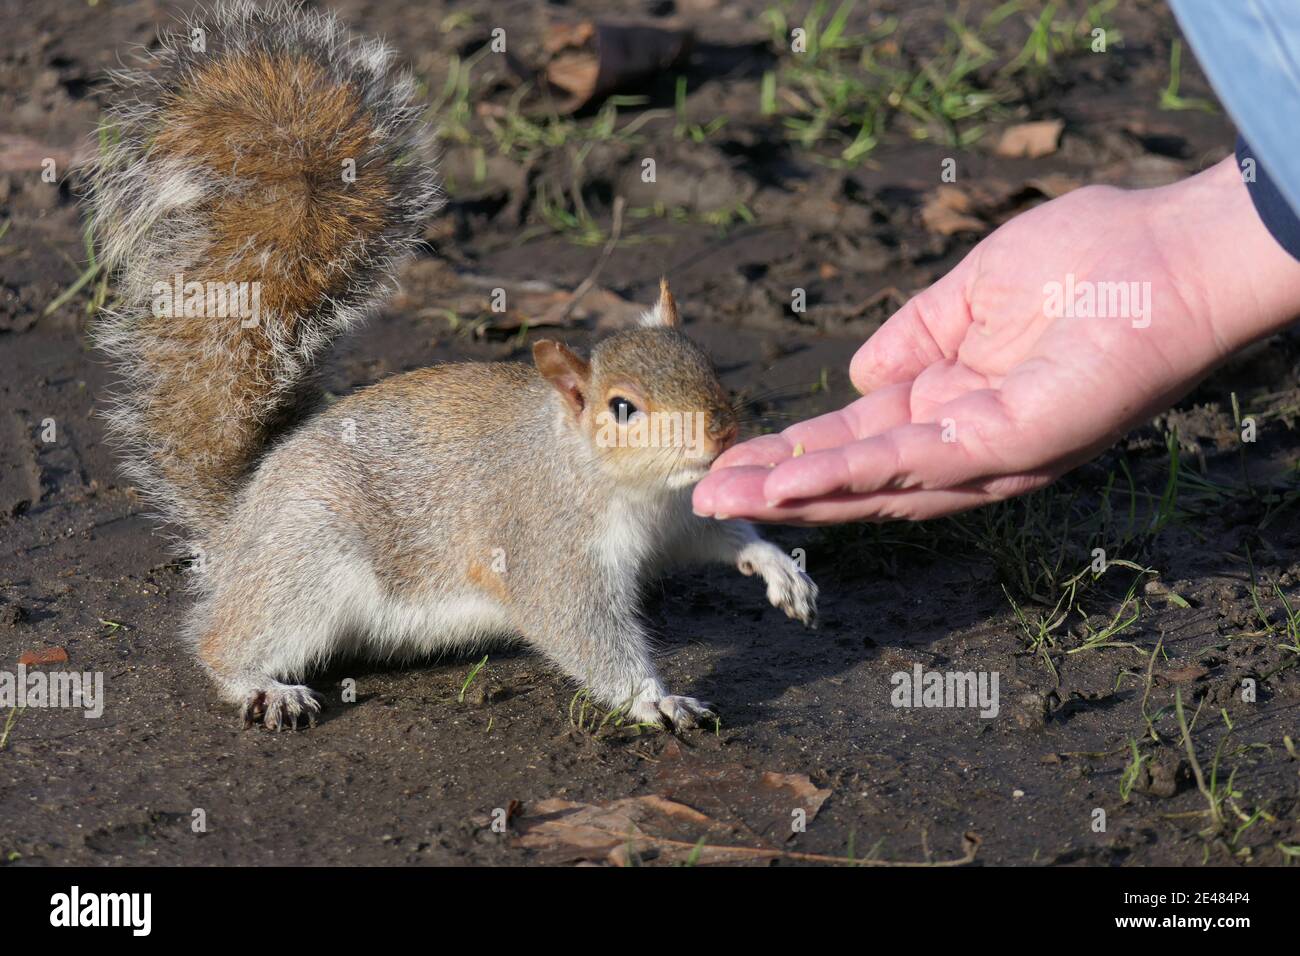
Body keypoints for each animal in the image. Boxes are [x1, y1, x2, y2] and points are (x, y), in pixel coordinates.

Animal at [86, 1, 818, 731]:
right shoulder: (545, 544)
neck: (628, 486)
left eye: (706, 363)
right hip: (307, 564)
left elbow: (714, 533)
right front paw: (654, 699)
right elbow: (578, 628)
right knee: (223, 636)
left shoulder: (675, 518)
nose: (721, 434)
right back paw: (259, 684)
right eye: (621, 409)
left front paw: (775, 564)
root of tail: (237, 521)